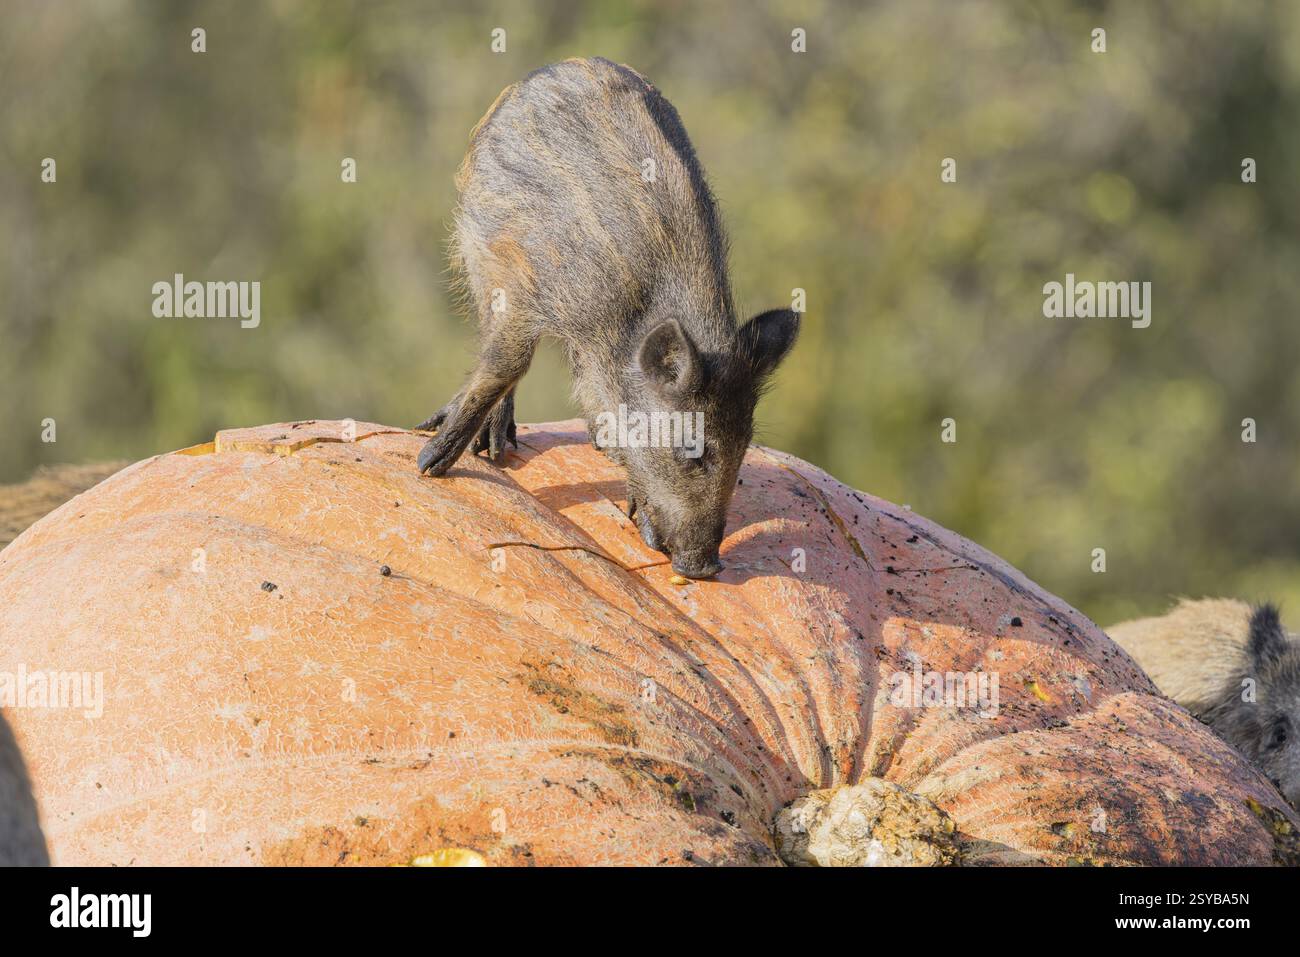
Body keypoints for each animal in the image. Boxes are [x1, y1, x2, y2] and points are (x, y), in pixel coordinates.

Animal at [414, 57, 800, 579]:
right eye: (692, 449)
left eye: (745, 449)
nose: (705, 568)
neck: (628, 317)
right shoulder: (524, 283)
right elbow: (506, 363)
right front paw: (429, 463)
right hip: (476, 248)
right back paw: (482, 443)